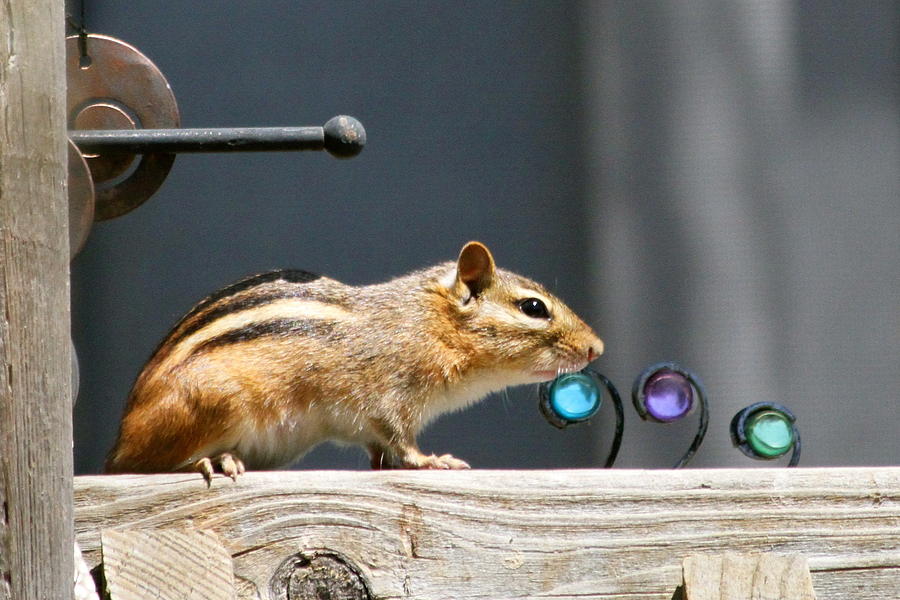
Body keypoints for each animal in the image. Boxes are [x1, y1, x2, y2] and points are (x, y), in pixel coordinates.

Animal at [105, 242, 603, 482]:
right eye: (533, 308)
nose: (597, 347)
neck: (427, 324)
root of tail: (121, 439)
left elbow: (379, 448)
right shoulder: (391, 397)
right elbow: (401, 440)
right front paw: (432, 461)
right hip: (210, 403)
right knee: (144, 464)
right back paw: (210, 462)